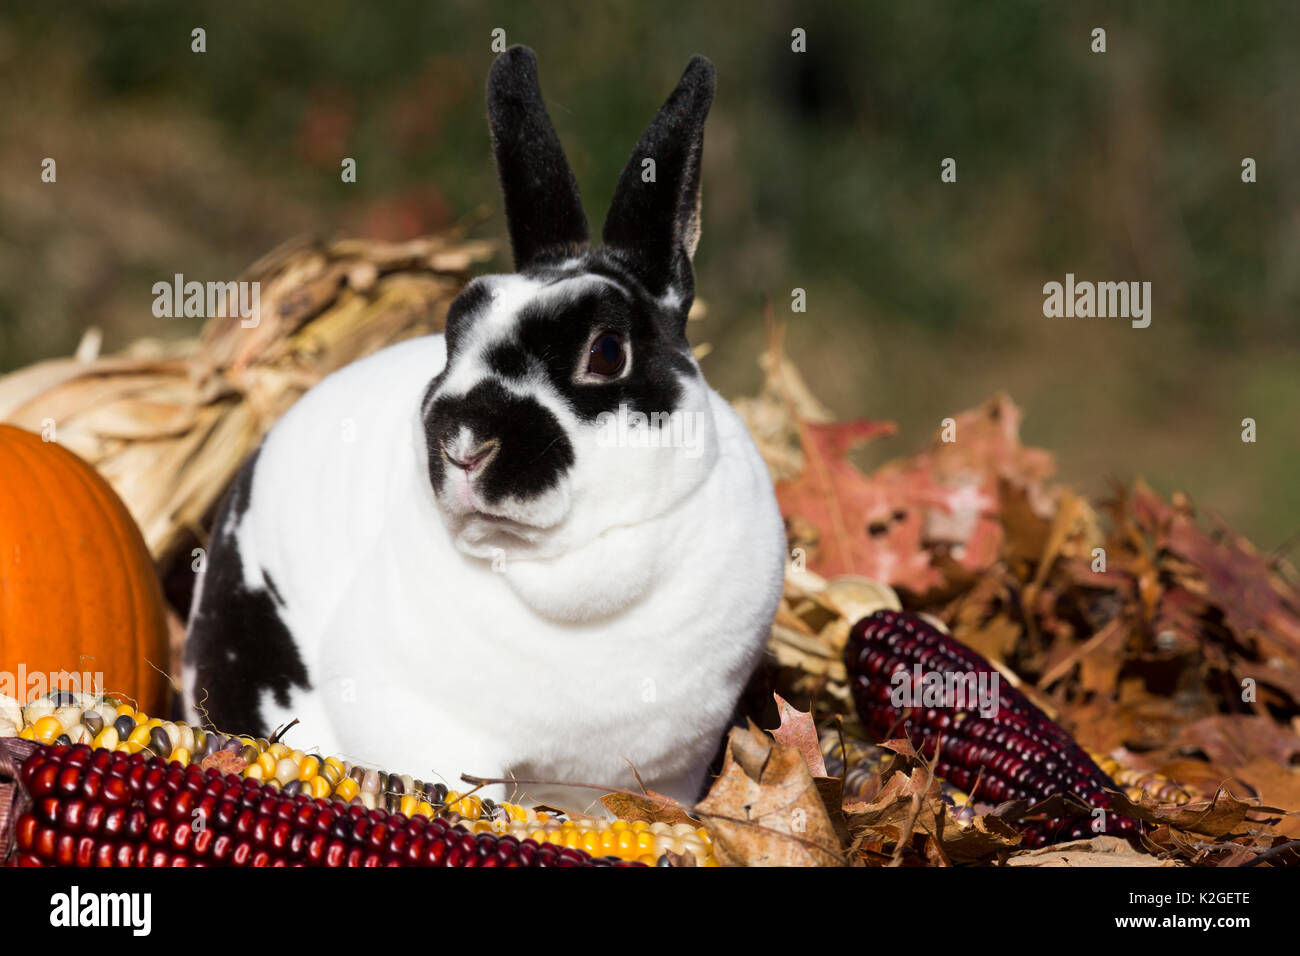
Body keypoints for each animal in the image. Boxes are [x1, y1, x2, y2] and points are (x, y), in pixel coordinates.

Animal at [183, 45, 786, 811]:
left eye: (607, 353)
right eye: (453, 332)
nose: (464, 446)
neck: (571, 569)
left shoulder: (670, 773)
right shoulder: (424, 722)